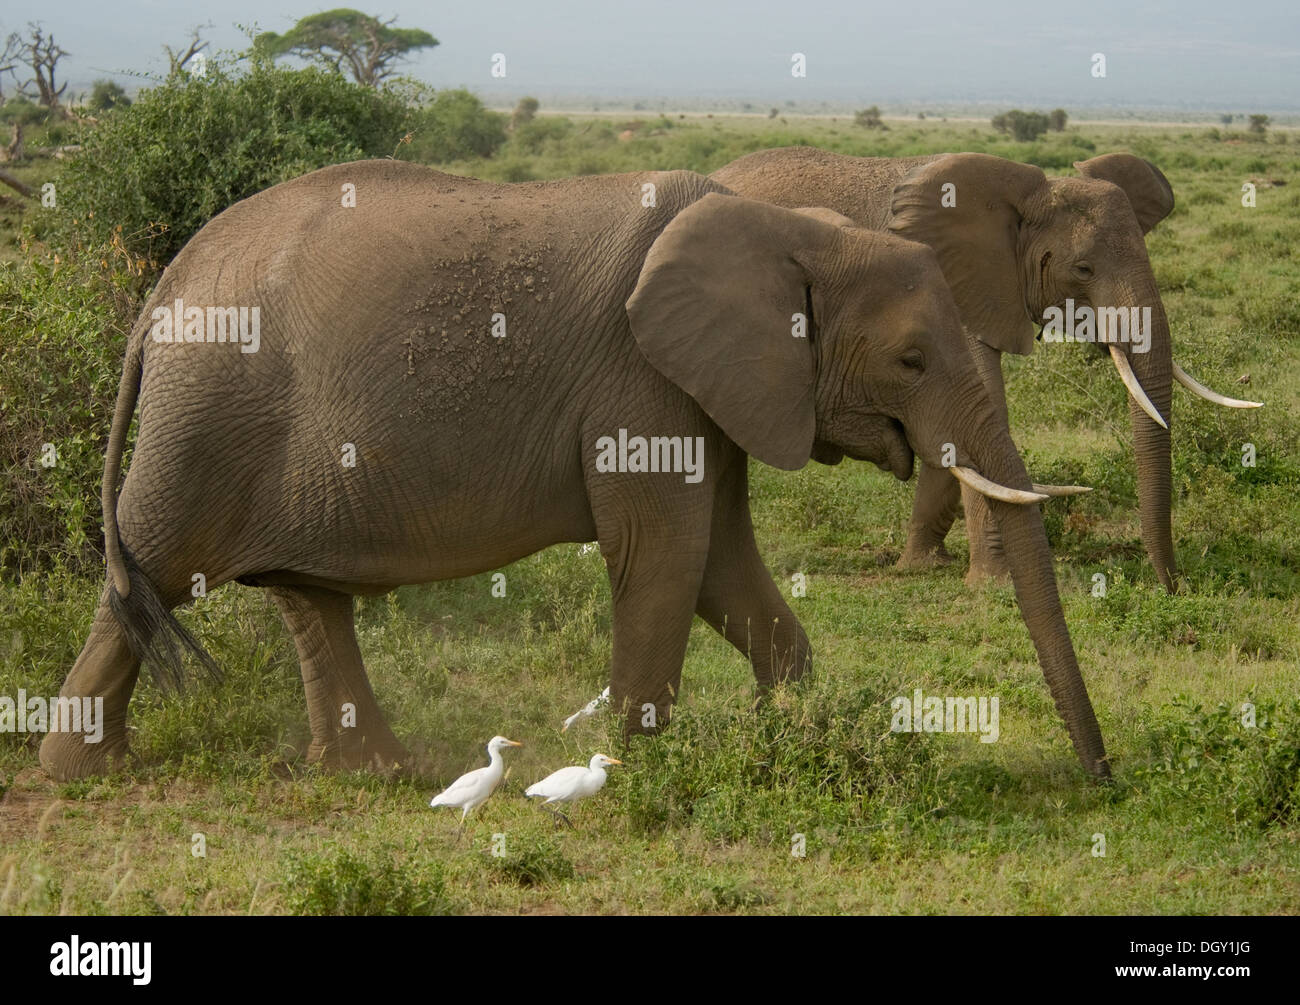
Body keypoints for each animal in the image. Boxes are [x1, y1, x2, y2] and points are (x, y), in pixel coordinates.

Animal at [38, 160, 1110, 783]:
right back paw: (79, 776)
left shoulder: (706, 386)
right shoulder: (642, 376)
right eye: (913, 361)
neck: (791, 228)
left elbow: (723, 564)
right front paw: (632, 765)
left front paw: (791, 724)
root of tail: (158, 296)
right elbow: (667, 554)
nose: (1101, 777)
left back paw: (371, 773)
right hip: (207, 419)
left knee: (307, 597)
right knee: (150, 575)